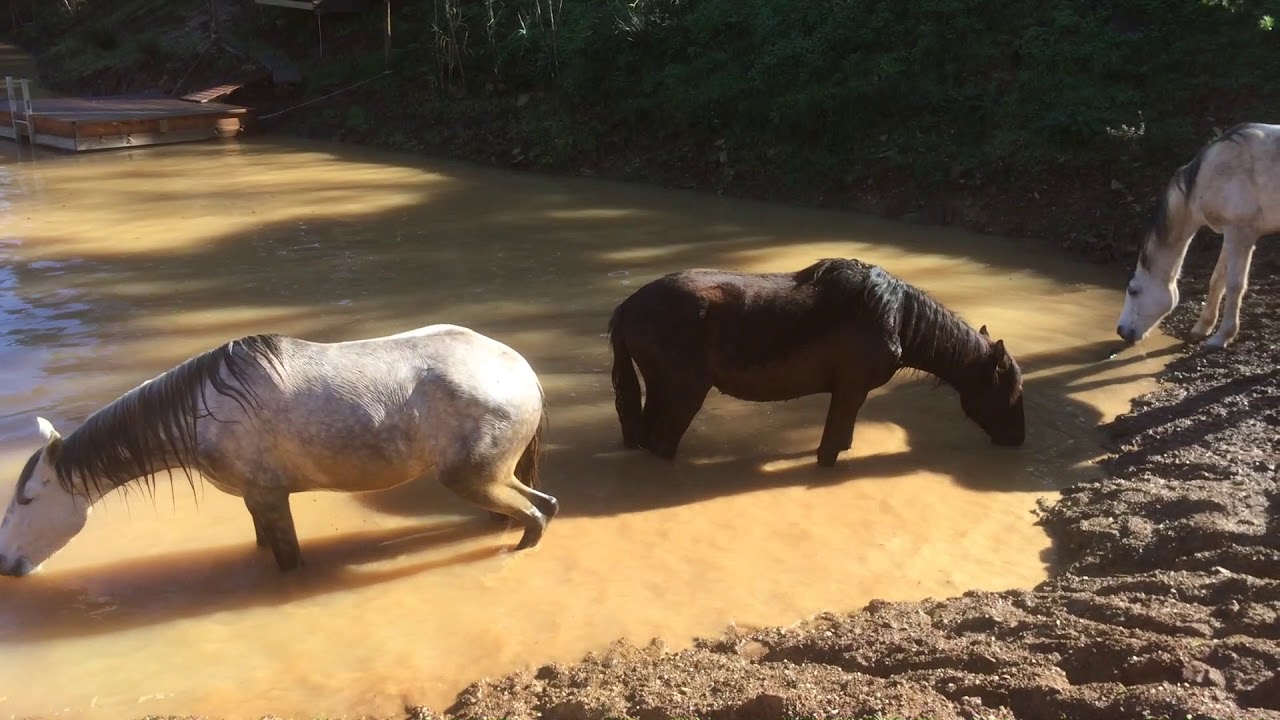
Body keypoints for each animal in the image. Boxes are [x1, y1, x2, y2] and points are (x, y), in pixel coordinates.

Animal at [0, 324, 558, 578]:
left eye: (26, 500)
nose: (6, 564)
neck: (204, 408)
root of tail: (522, 369)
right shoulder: (256, 499)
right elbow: (264, 543)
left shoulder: (269, 495)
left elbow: (287, 558)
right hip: (491, 477)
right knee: (540, 507)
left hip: (474, 477)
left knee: (536, 513)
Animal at [607, 258, 1025, 467]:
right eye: (1011, 389)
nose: (1018, 439)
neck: (895, 316)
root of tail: (628, 306)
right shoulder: (850, 390)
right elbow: (830, 450)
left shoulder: (850, 393)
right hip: (684, 393)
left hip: (660, 389)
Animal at [1116, 122, 1280, 349]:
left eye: (1133, 291)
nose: (1121, 331)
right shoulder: (1230, 235)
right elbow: (1217, 279)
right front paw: (1202, 328)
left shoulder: (1240, 235)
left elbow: (1235, 286)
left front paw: (1222, 337)